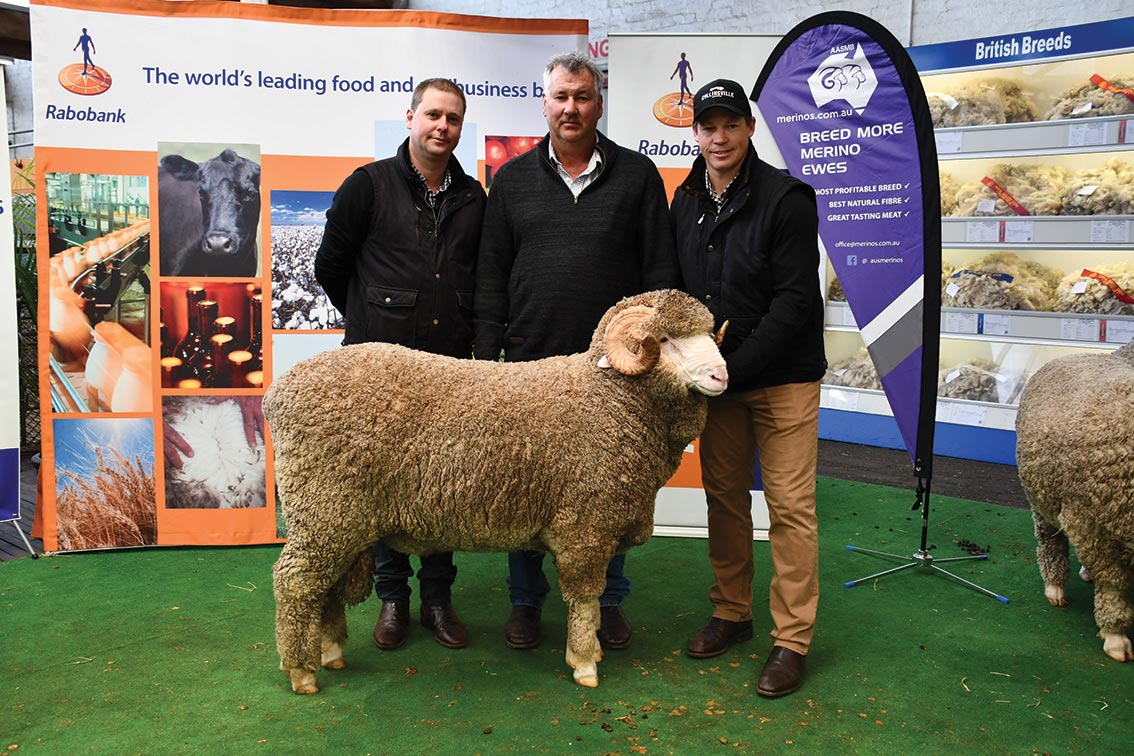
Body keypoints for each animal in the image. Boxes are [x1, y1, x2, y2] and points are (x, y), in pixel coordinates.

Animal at [263, 289, 729, 694]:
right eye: (665, 340)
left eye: (709, 334)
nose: (721, 376)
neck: (608, 396)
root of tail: (278, 392)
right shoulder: (585, 525)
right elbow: (585, 599)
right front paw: (584, 663)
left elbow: (593, 603)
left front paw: (595, 646)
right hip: (323, 508)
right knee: (296, 582)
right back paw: (301, 672)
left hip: (339, 519)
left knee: (324, 587)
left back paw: (330, 651)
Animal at [1015, 341, 1134, 663]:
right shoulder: (1091, 525)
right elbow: (1115, 583)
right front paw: (1115, 635)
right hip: (1043, 500)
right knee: (1050, 541)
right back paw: (1055, 586)